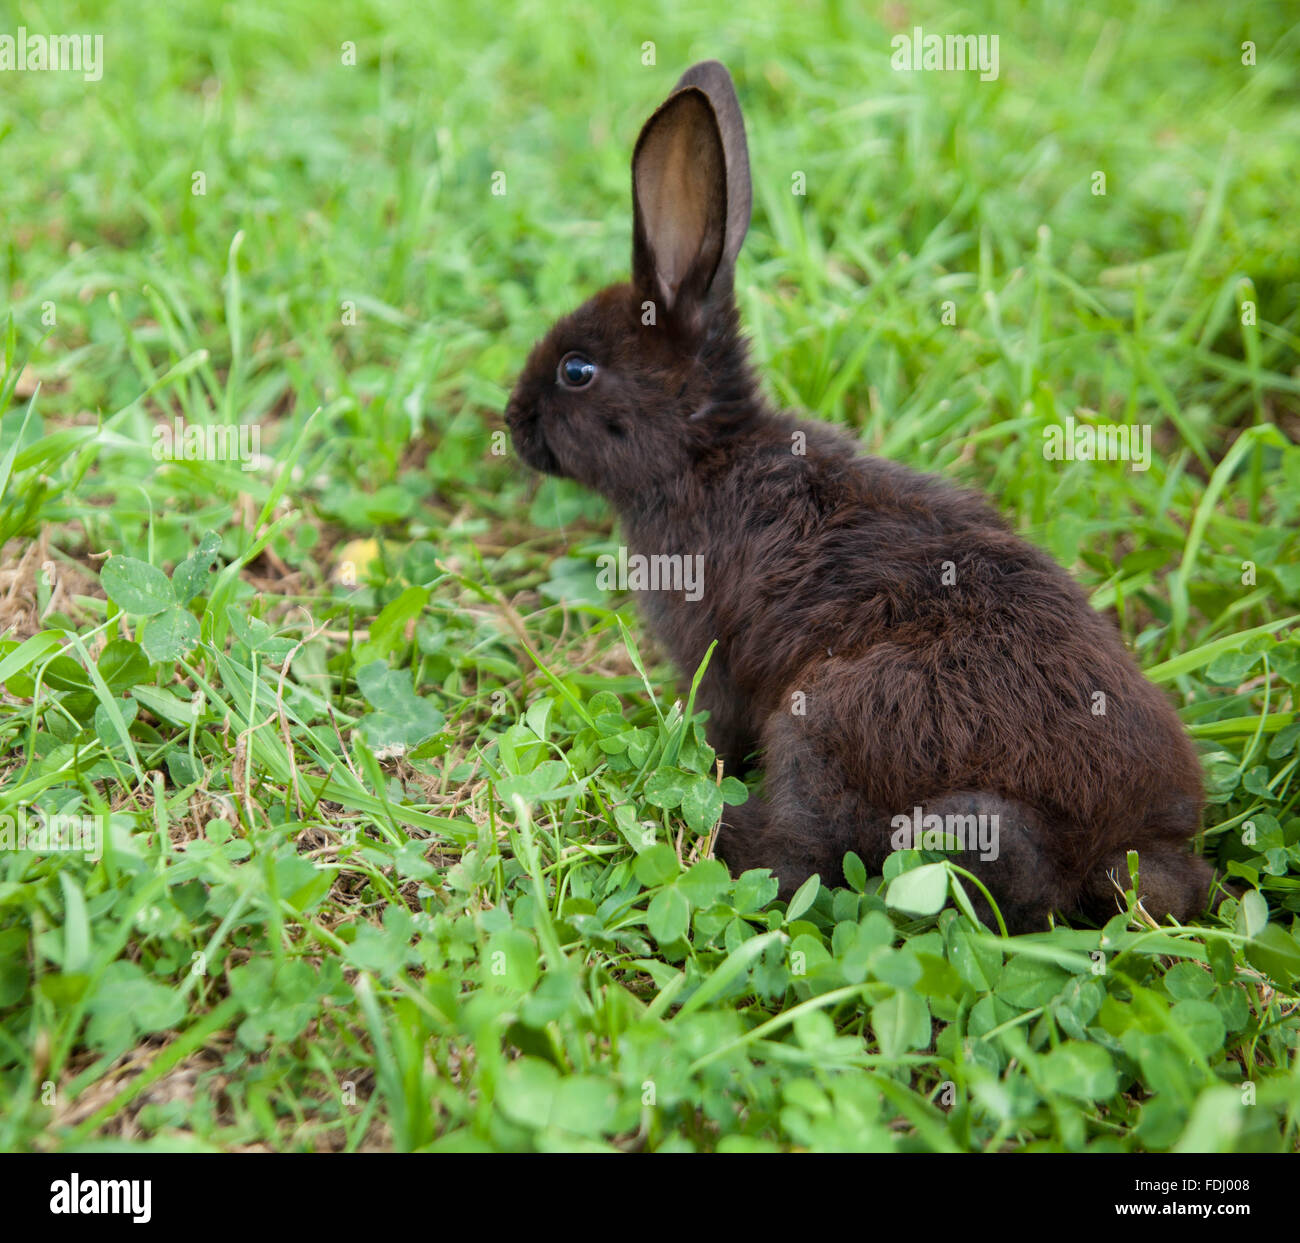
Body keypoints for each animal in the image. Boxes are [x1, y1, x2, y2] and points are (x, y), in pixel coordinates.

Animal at [505, 60, 1215, 933]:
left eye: (577, 370)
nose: (512, 419)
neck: (706, 452)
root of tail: (1129, 845)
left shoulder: (713, 660)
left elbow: (716, 727)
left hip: (832, 724)